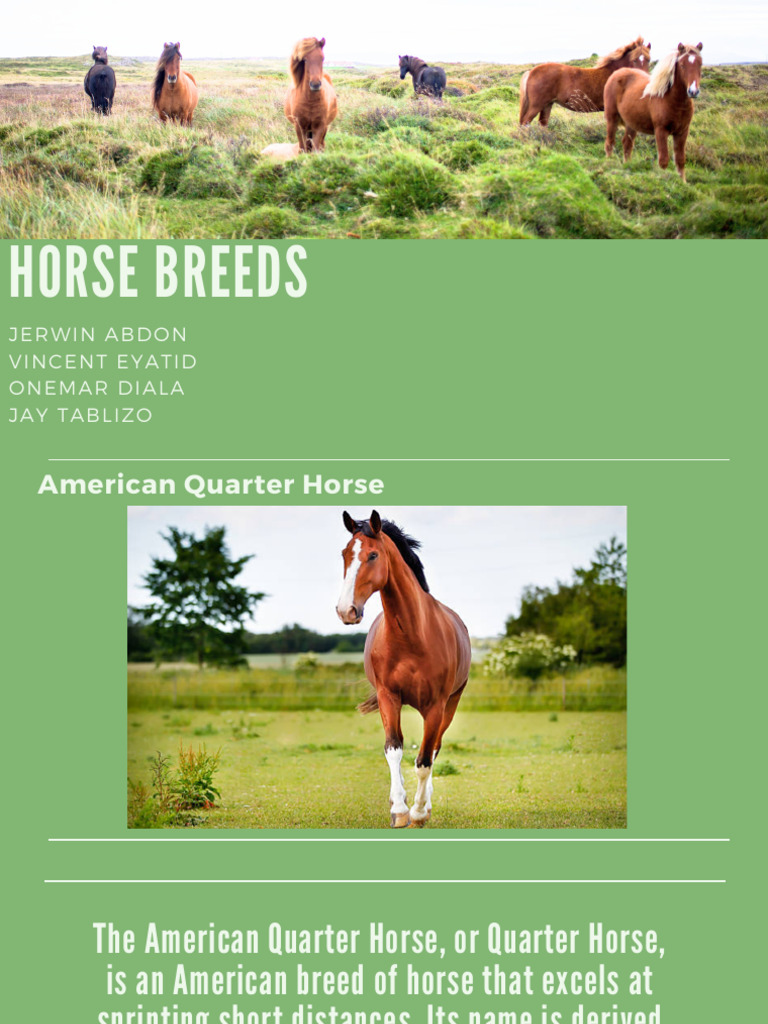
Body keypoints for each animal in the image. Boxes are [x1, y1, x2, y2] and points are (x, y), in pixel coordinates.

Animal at [337, 511, 471, 828]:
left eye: (373, 555)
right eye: (344, 554)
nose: (346, 610)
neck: (410, 635)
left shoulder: (436, 705)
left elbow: (424, 761)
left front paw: (419, 812)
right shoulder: (389, 696)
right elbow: (394, 750)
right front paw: (399, 809)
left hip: (449, 705)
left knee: (433, 749)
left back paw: (426, 804)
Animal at [519, 36, 651, 126]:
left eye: (648, 59)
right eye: (634, 60)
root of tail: (531, 72)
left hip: (547, 104)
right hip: (536, 105)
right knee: (525, 122)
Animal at [604, 43, 703, 183]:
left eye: (700, 64)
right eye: (682, 65)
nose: (693, 91)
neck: (672, 100)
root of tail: (616, 73)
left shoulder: (682, 132)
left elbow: (680, 160)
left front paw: (683, 183)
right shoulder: (661, 131)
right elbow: (663, 160)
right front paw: (664, 180)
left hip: (631, 124)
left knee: (627, 144)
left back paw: (627, 166)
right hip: (612, 119)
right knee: (610, 142)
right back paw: (609, 163)